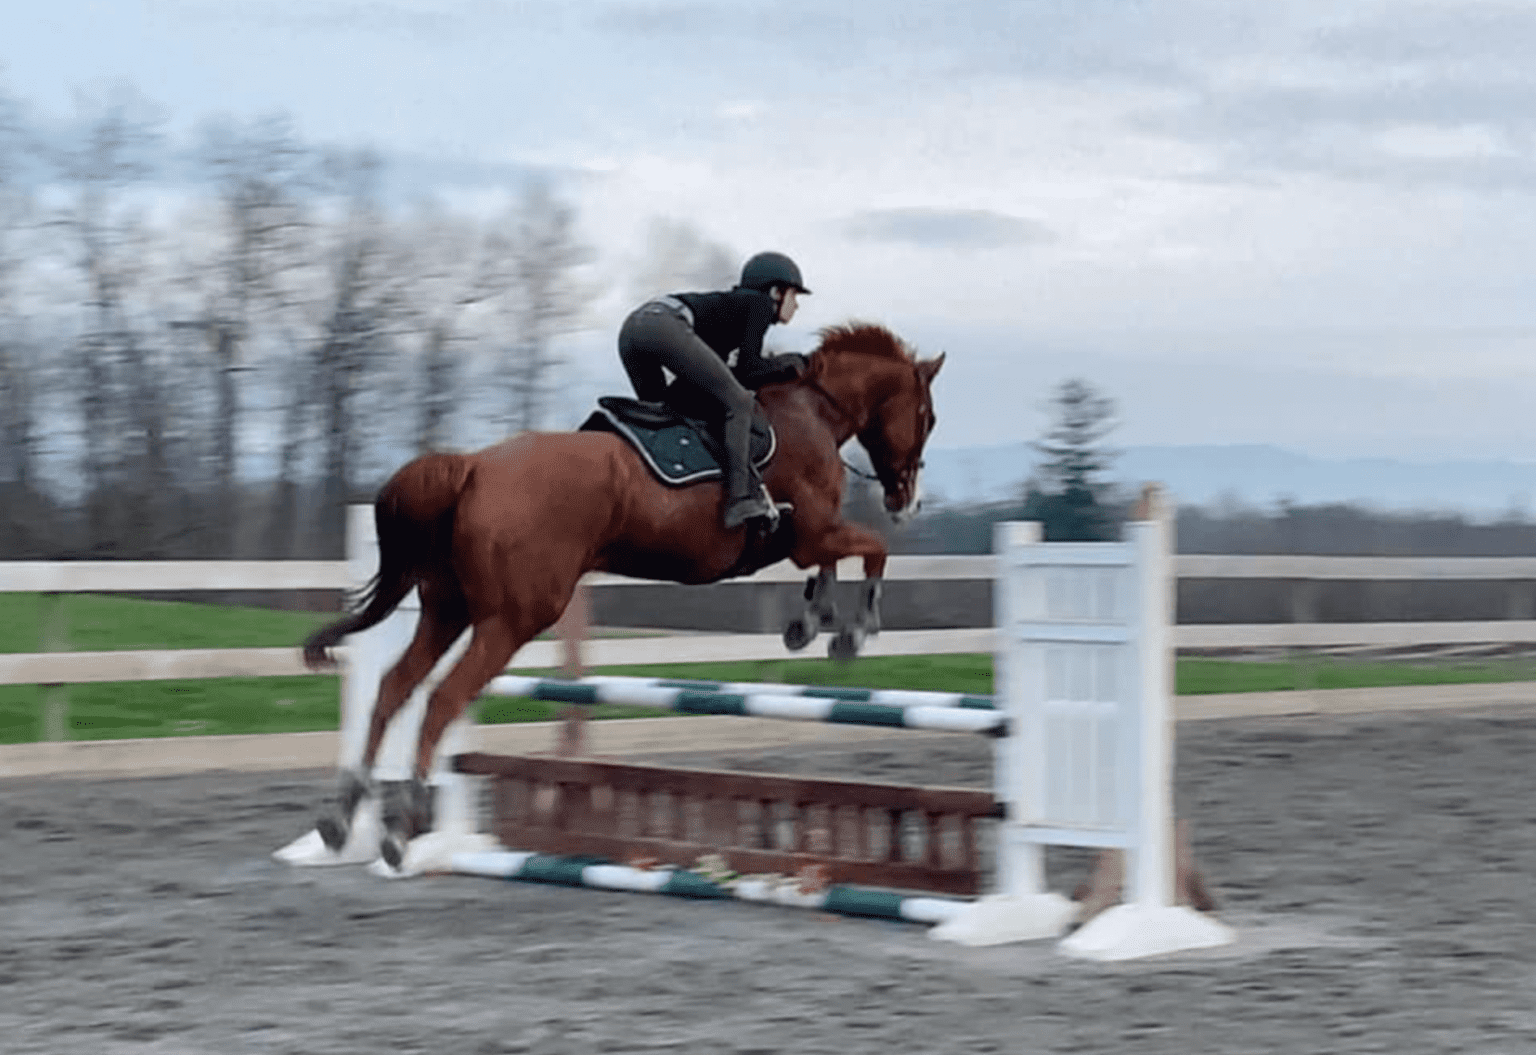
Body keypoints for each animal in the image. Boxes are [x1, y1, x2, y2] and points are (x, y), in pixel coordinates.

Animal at [302, 322, 944, 867]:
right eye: (928, 415)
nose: (906, 501)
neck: (815, 408)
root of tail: (472, 469)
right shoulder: (810, 534)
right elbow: (873, 549)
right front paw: (852, 631)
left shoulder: (809, 540)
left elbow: (839, 562)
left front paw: (812, 622)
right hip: (512, 619)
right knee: (441, 699)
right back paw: (399, 826)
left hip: (446, 610)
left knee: (393, 688)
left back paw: (343, 817)